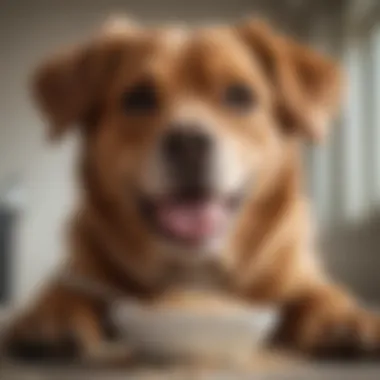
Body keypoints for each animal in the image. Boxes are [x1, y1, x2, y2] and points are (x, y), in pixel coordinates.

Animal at [3, 15, 380, 362]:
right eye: (138, 98)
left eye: (239, 95)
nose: (188, 143)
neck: (194, 268)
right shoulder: (80, 272)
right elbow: (65, 292)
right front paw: (53, 314)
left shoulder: (298, 276)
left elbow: (320, 294)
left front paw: (343, 316)